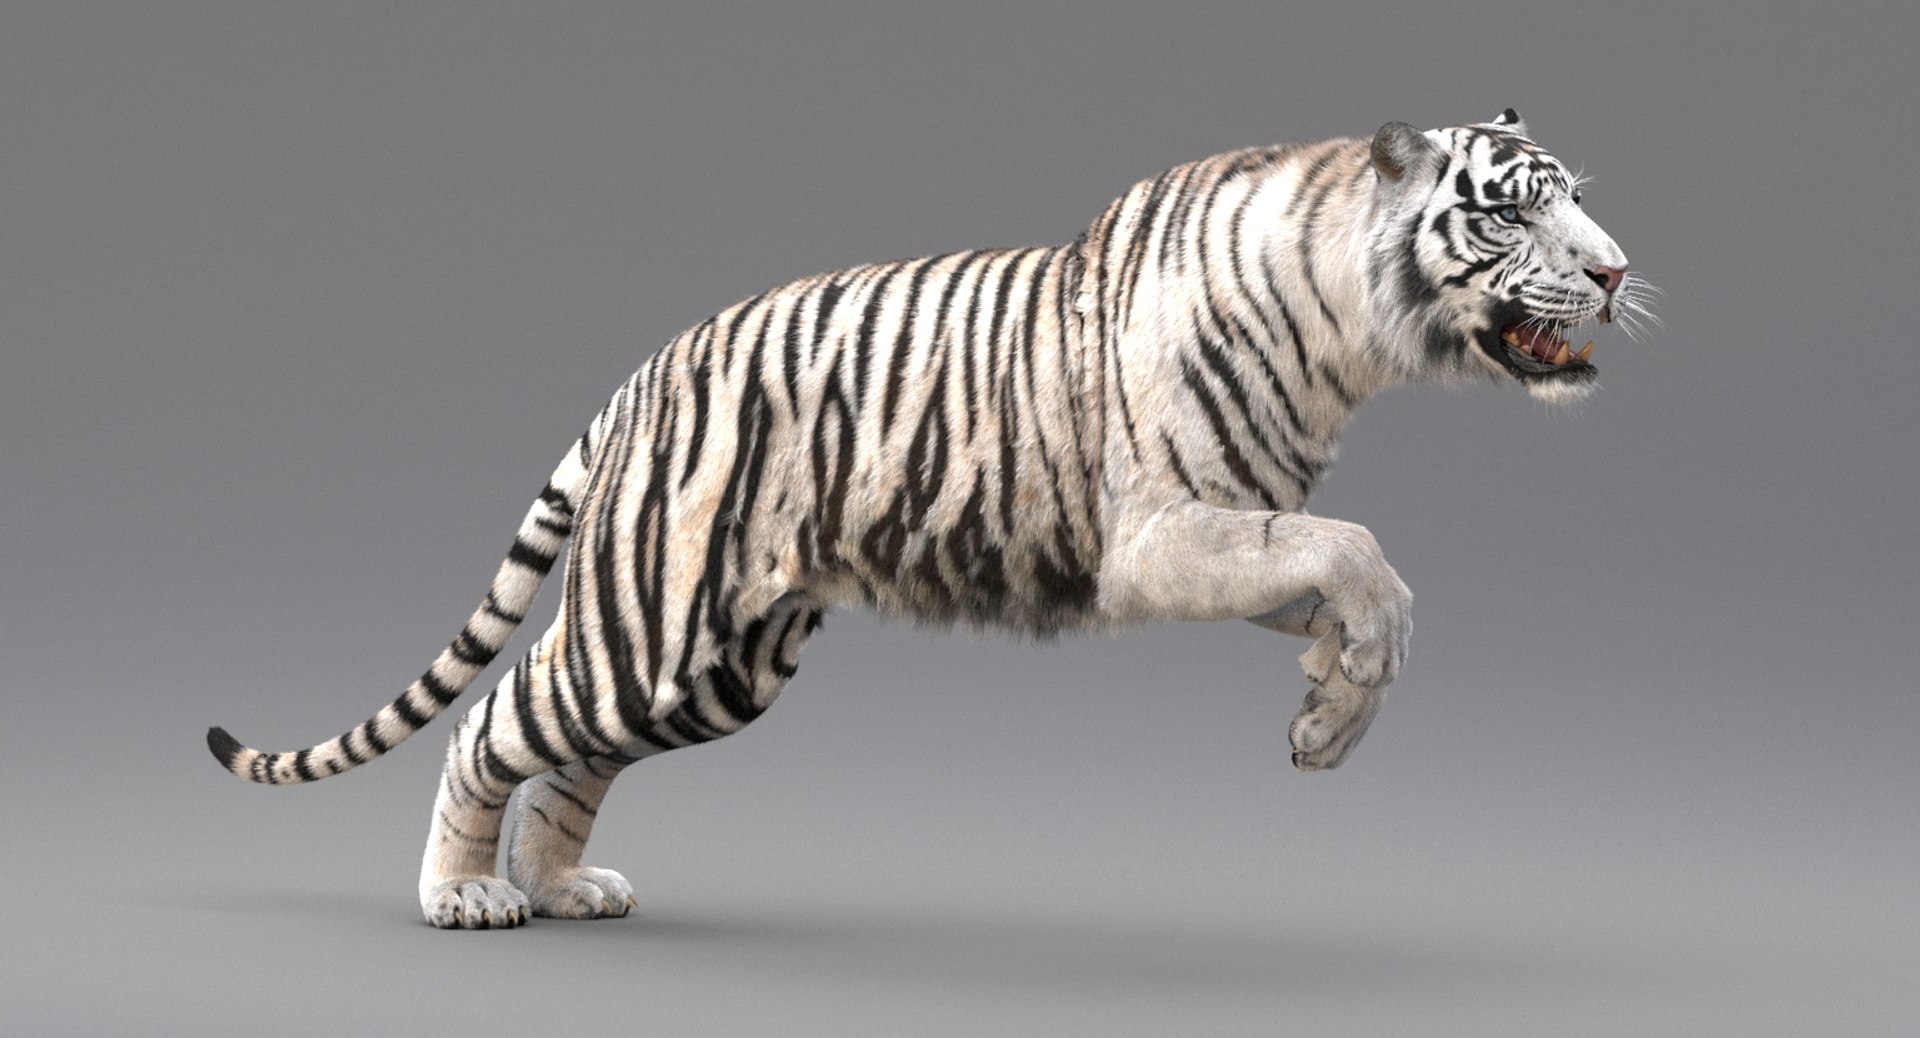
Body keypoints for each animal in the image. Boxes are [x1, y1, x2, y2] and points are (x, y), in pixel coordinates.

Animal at [209, 110, 1650, 929]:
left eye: (1577, 195)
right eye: (1512, 206)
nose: (1617, 268)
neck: (1350, 339)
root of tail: (637, 379)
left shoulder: (1245, 514)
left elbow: (1357, 577)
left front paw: (1326, 701)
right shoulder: (1160, 534)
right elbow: (1364, 553)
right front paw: (1334, 701)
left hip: (717, 664)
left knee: (573, 760)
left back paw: (566, 888)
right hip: (650, 626)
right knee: (495, 722)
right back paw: (465, 893)